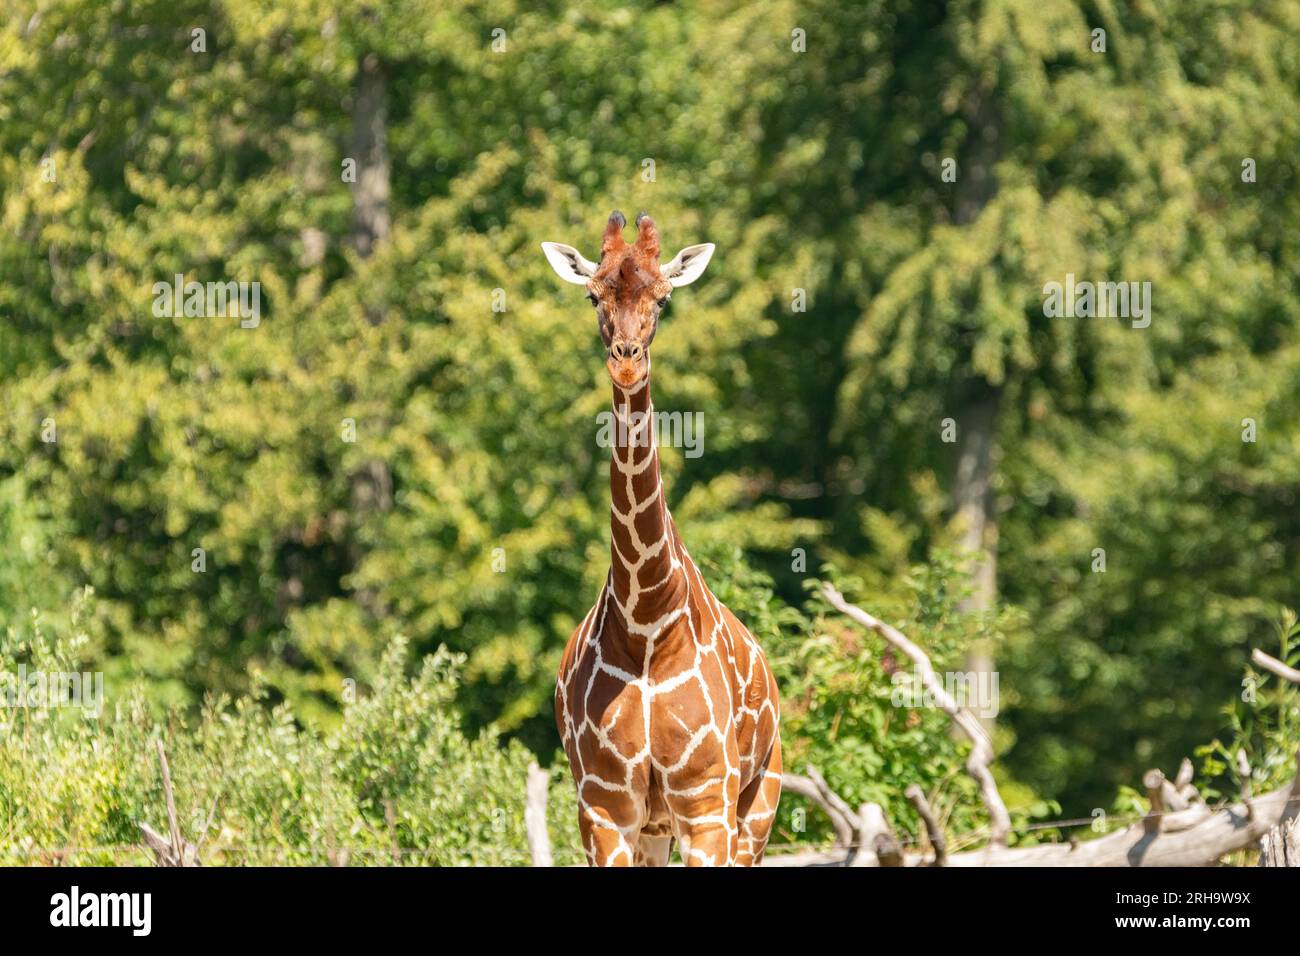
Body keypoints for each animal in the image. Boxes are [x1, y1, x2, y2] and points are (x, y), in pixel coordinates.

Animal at [543, 211, 782, 867]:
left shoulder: (707, 805)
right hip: (655, 827)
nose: (626, 360)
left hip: (759, 802)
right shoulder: (605, 808)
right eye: (593, 294)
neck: (648, 620)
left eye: (663, 297)